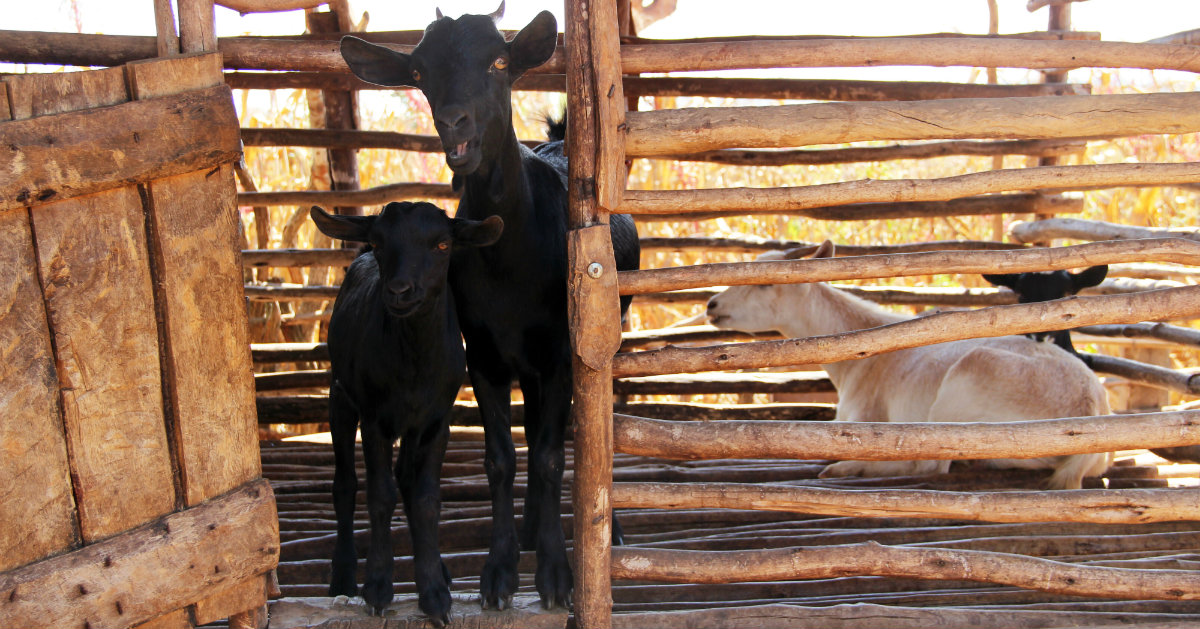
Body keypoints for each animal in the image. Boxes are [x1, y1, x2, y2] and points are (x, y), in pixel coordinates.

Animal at [311, 203, 503, 624]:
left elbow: (426, 498)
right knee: (345, 484)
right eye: (380, 242)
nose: (400, 291)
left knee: (407, 479)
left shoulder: (436, 421)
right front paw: (378, 588)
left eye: (443, 244)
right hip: (340, 396)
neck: (414, 361)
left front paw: (434, 593)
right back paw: (343, 576)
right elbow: (380, 494)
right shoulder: (374, 419)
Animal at [340, 4, 640, 610]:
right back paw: (527, 530)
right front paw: (500, 572)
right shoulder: (483, 355)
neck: (510, 260)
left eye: (499, 62)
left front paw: (556, 575)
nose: (454, 122)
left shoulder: (562, 354)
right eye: (419, 72)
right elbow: (501, 458)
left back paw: (605, 532)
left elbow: (551, 456)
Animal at [706, 242, 1111, 489]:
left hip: (963, 390)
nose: (711, 305)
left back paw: (846, 468)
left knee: (929, 465)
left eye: (766, 284)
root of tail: (1088, 406)